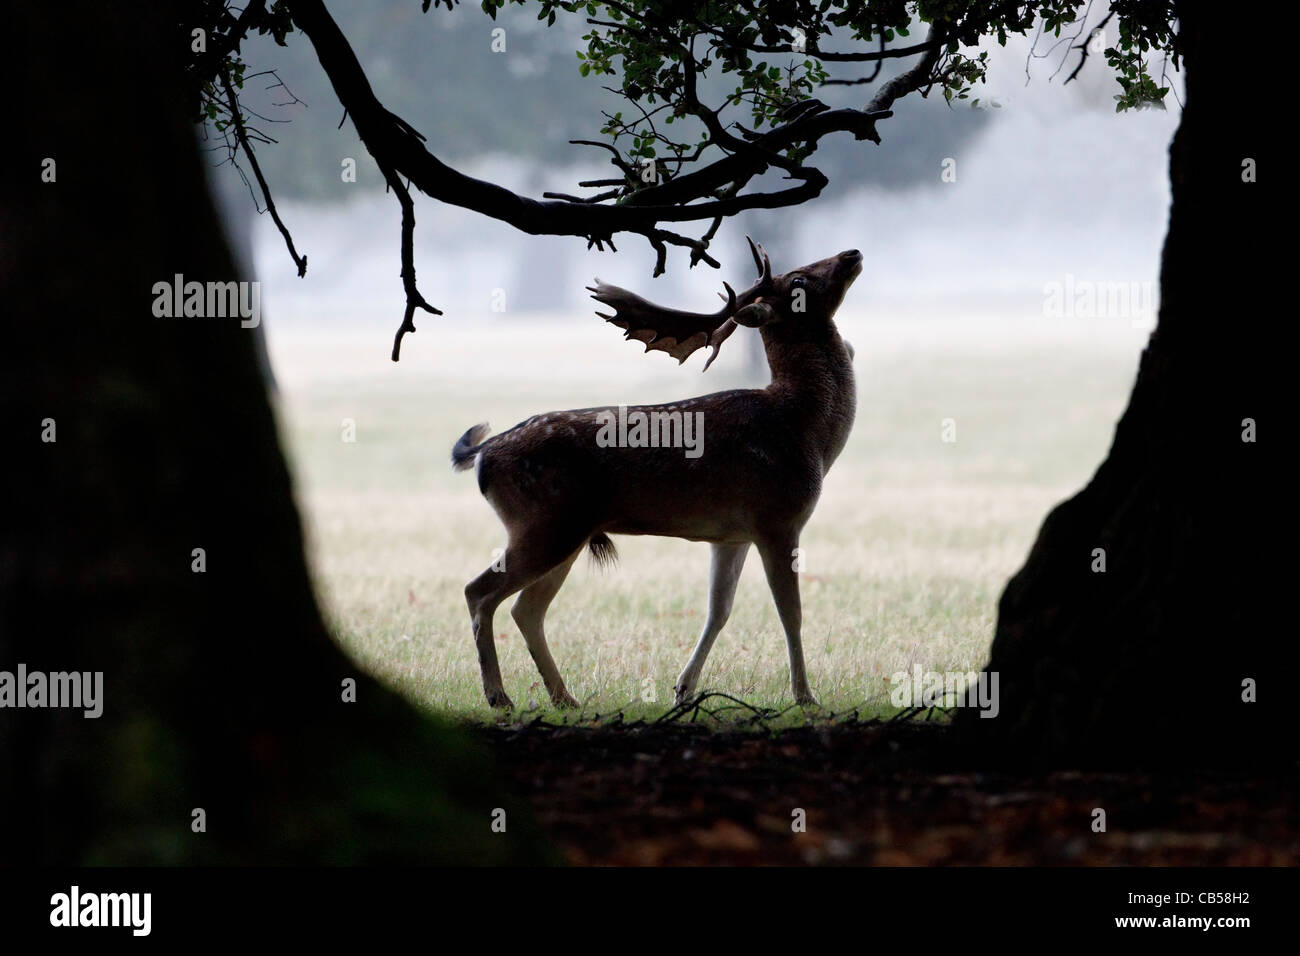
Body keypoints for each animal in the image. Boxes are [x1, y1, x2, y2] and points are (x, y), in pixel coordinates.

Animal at [451, 240, 861, 710]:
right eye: (798, 279)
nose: (851, 254)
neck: (806, 428)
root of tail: (483, 453)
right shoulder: (778, 518)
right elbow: (791, 613)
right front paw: (805, 696)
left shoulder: (732, 535)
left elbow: (719, 610)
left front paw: (683, 689)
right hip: (543, 524)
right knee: (479, 592)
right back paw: (499, 696)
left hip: (564, 532)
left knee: (526, 608)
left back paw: (564, 698)